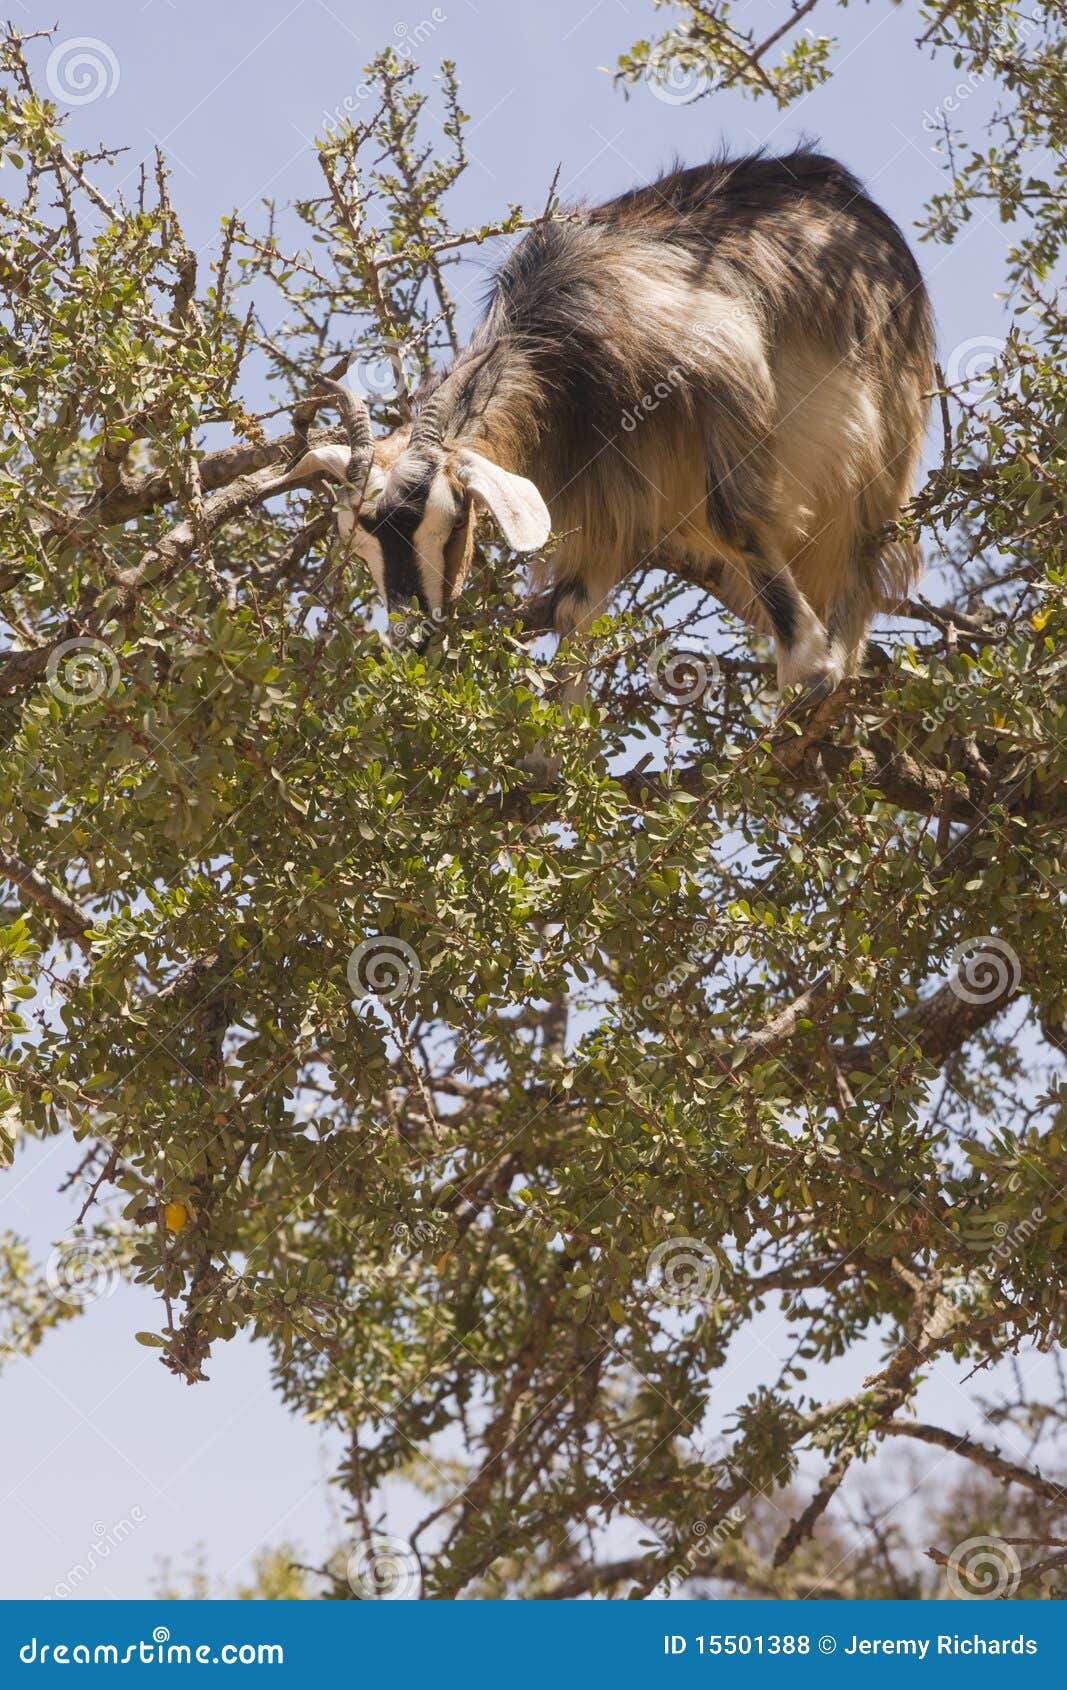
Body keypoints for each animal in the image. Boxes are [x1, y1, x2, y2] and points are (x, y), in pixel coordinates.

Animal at [288, 149, 934, 697]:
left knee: (863, 542)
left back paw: (836, 664)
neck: (554, 334)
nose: (413, 639)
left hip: (885, 430)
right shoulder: (595, 475)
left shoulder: (721, 365)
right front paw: (549, 754)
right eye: (356, 541)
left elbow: (733, 515)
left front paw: (809, 665)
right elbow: (575, 602)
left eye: (449, 517)